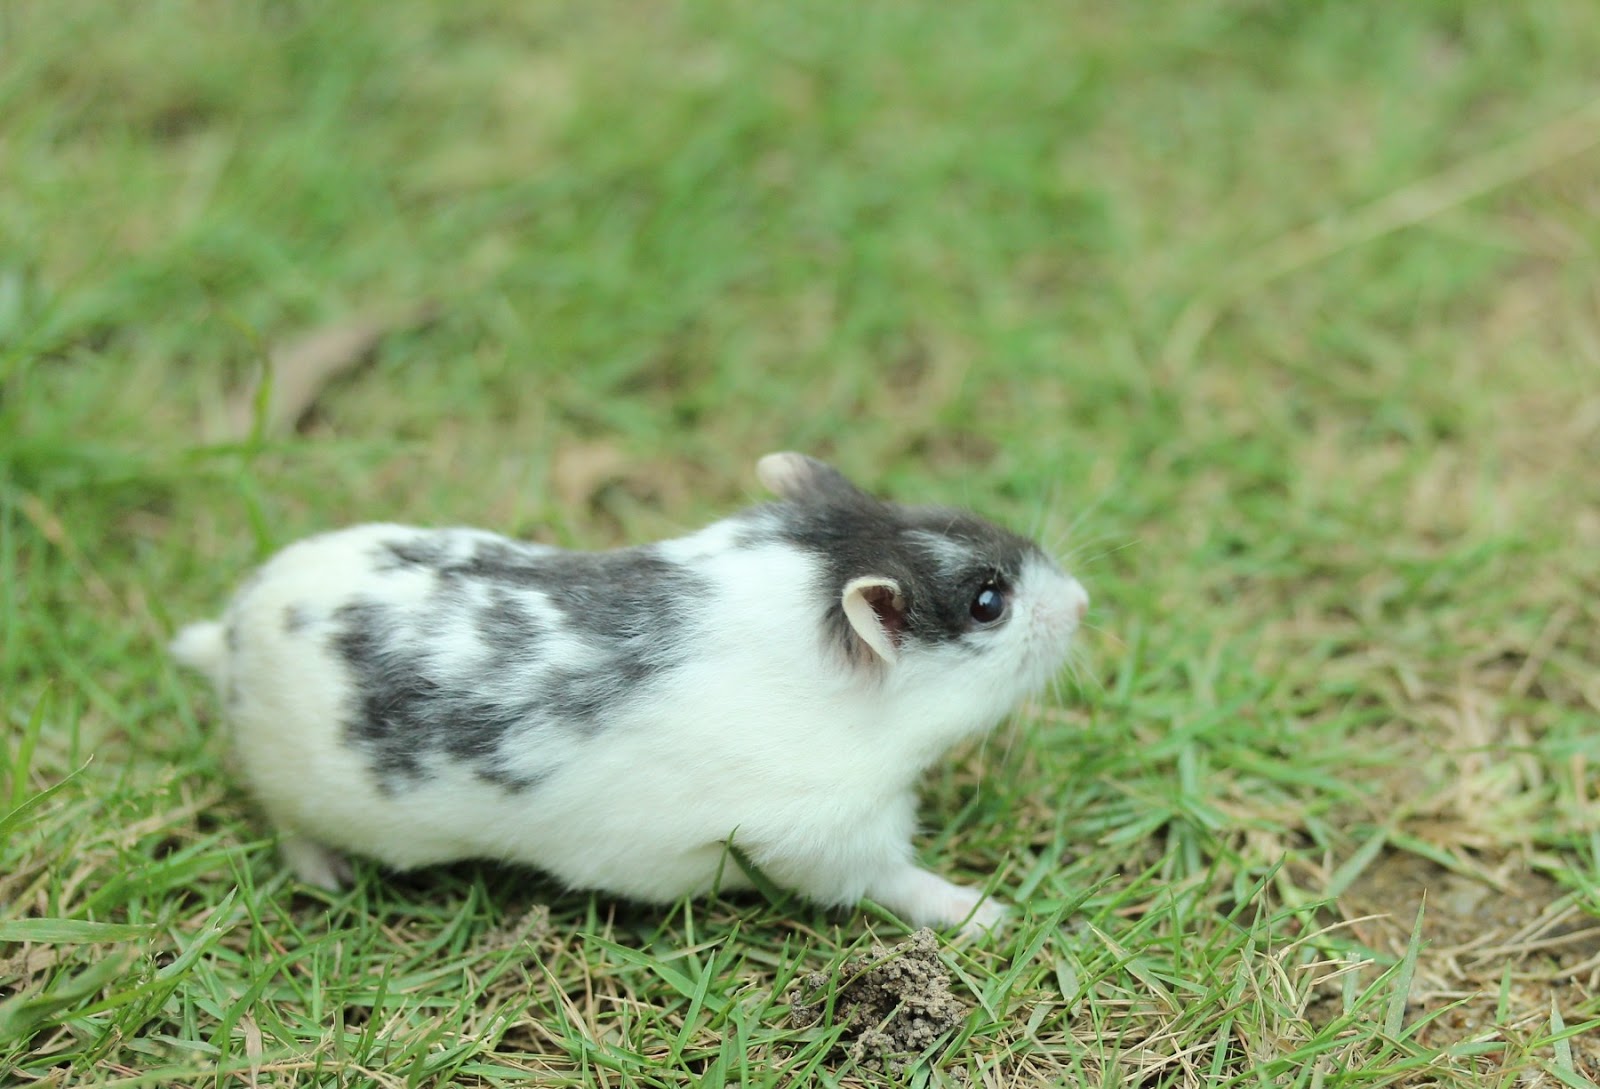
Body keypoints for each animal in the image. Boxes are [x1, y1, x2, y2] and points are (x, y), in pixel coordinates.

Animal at [170, 453, 1089, 936]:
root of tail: (234, 631)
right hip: (301, 794)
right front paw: (990, 912)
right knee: (289, 830)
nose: (1083, 601)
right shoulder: (832, 844)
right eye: (989, 601)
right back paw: (326, 877)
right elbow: (902, 882)